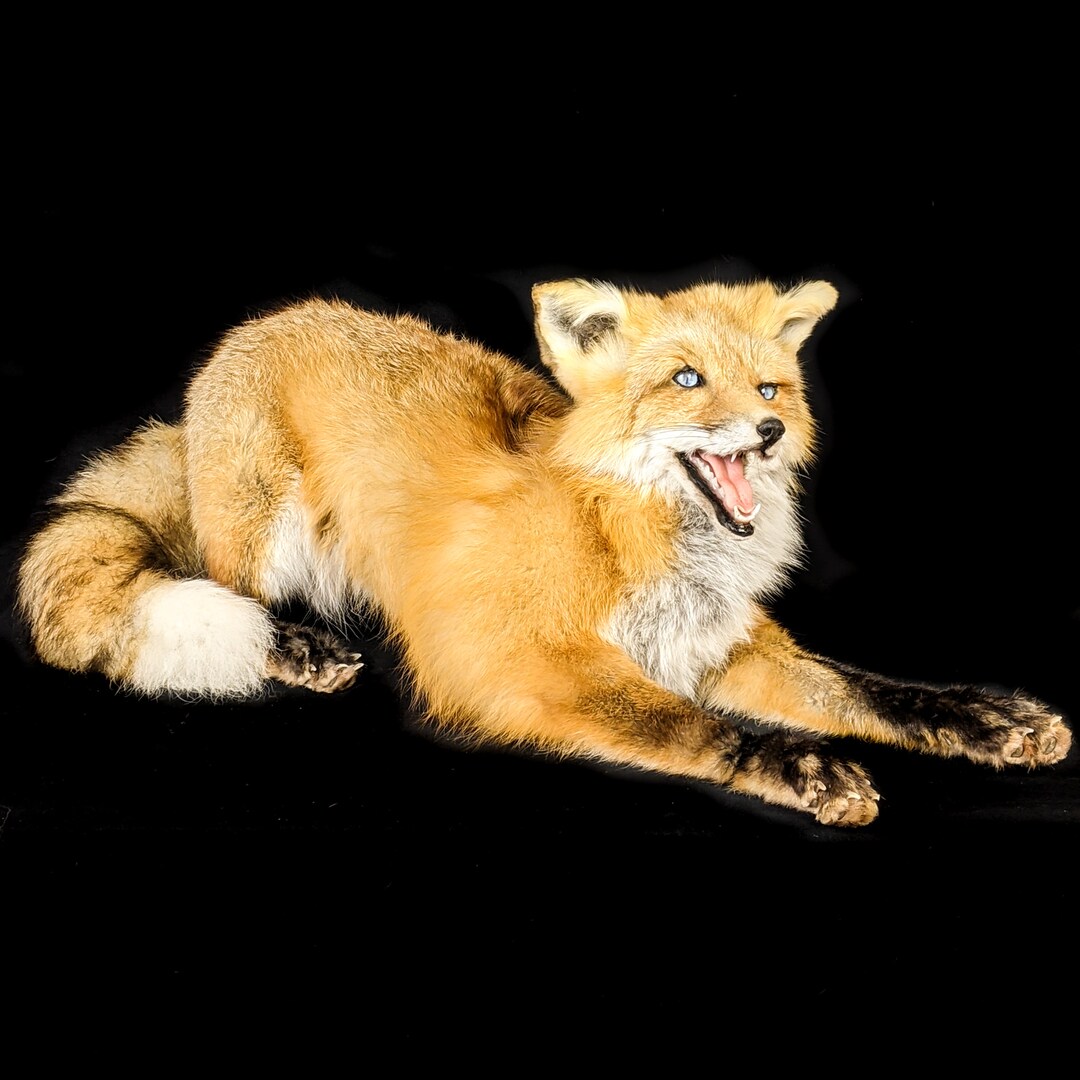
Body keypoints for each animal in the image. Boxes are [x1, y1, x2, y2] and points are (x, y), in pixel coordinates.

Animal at [16, 277, 1071, 826]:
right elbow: (688, 727)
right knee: (237, 592)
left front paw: (983, 718)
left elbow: (864, 689)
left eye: (771, 389)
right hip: (262, 531)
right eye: (687, 381)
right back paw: (300, 650)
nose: (767, 436)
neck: (631, 534)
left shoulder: (715, 642)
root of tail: (266, 320)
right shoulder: (504, 661)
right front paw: (801, 767)